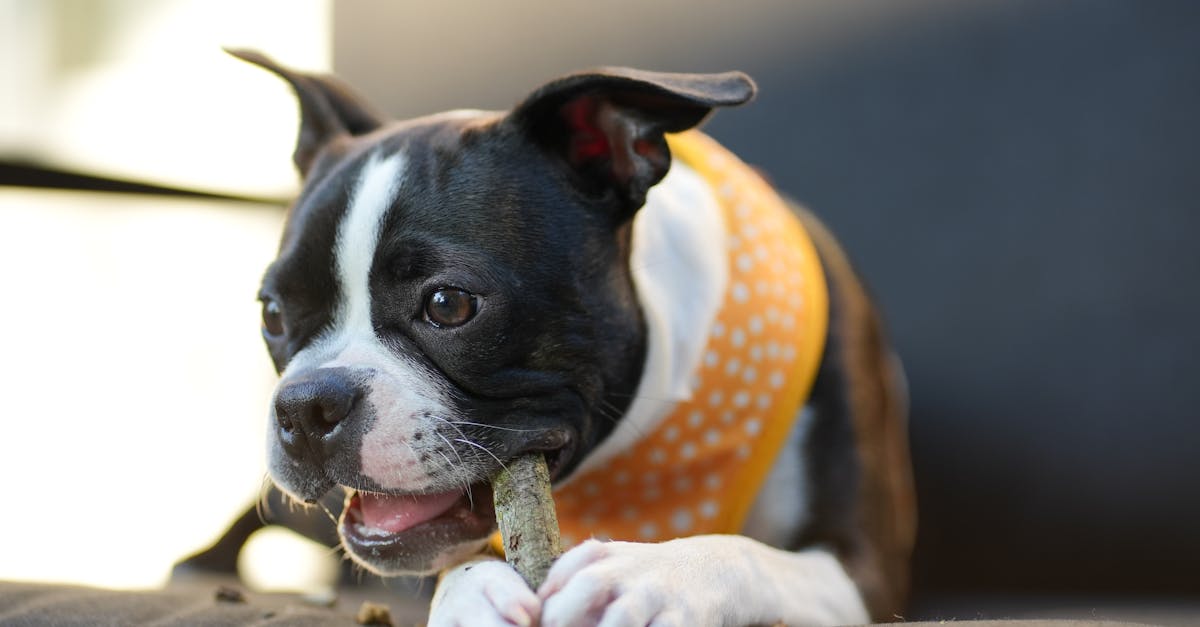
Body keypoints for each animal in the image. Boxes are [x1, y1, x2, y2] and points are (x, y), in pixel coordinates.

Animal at [226, 50, 916, 624]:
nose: (307, 405)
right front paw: (471, 594)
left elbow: (746, 554)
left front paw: (648, 575)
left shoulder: (865, 570)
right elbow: (460, 562)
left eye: (449, 305)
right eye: (273, 314)